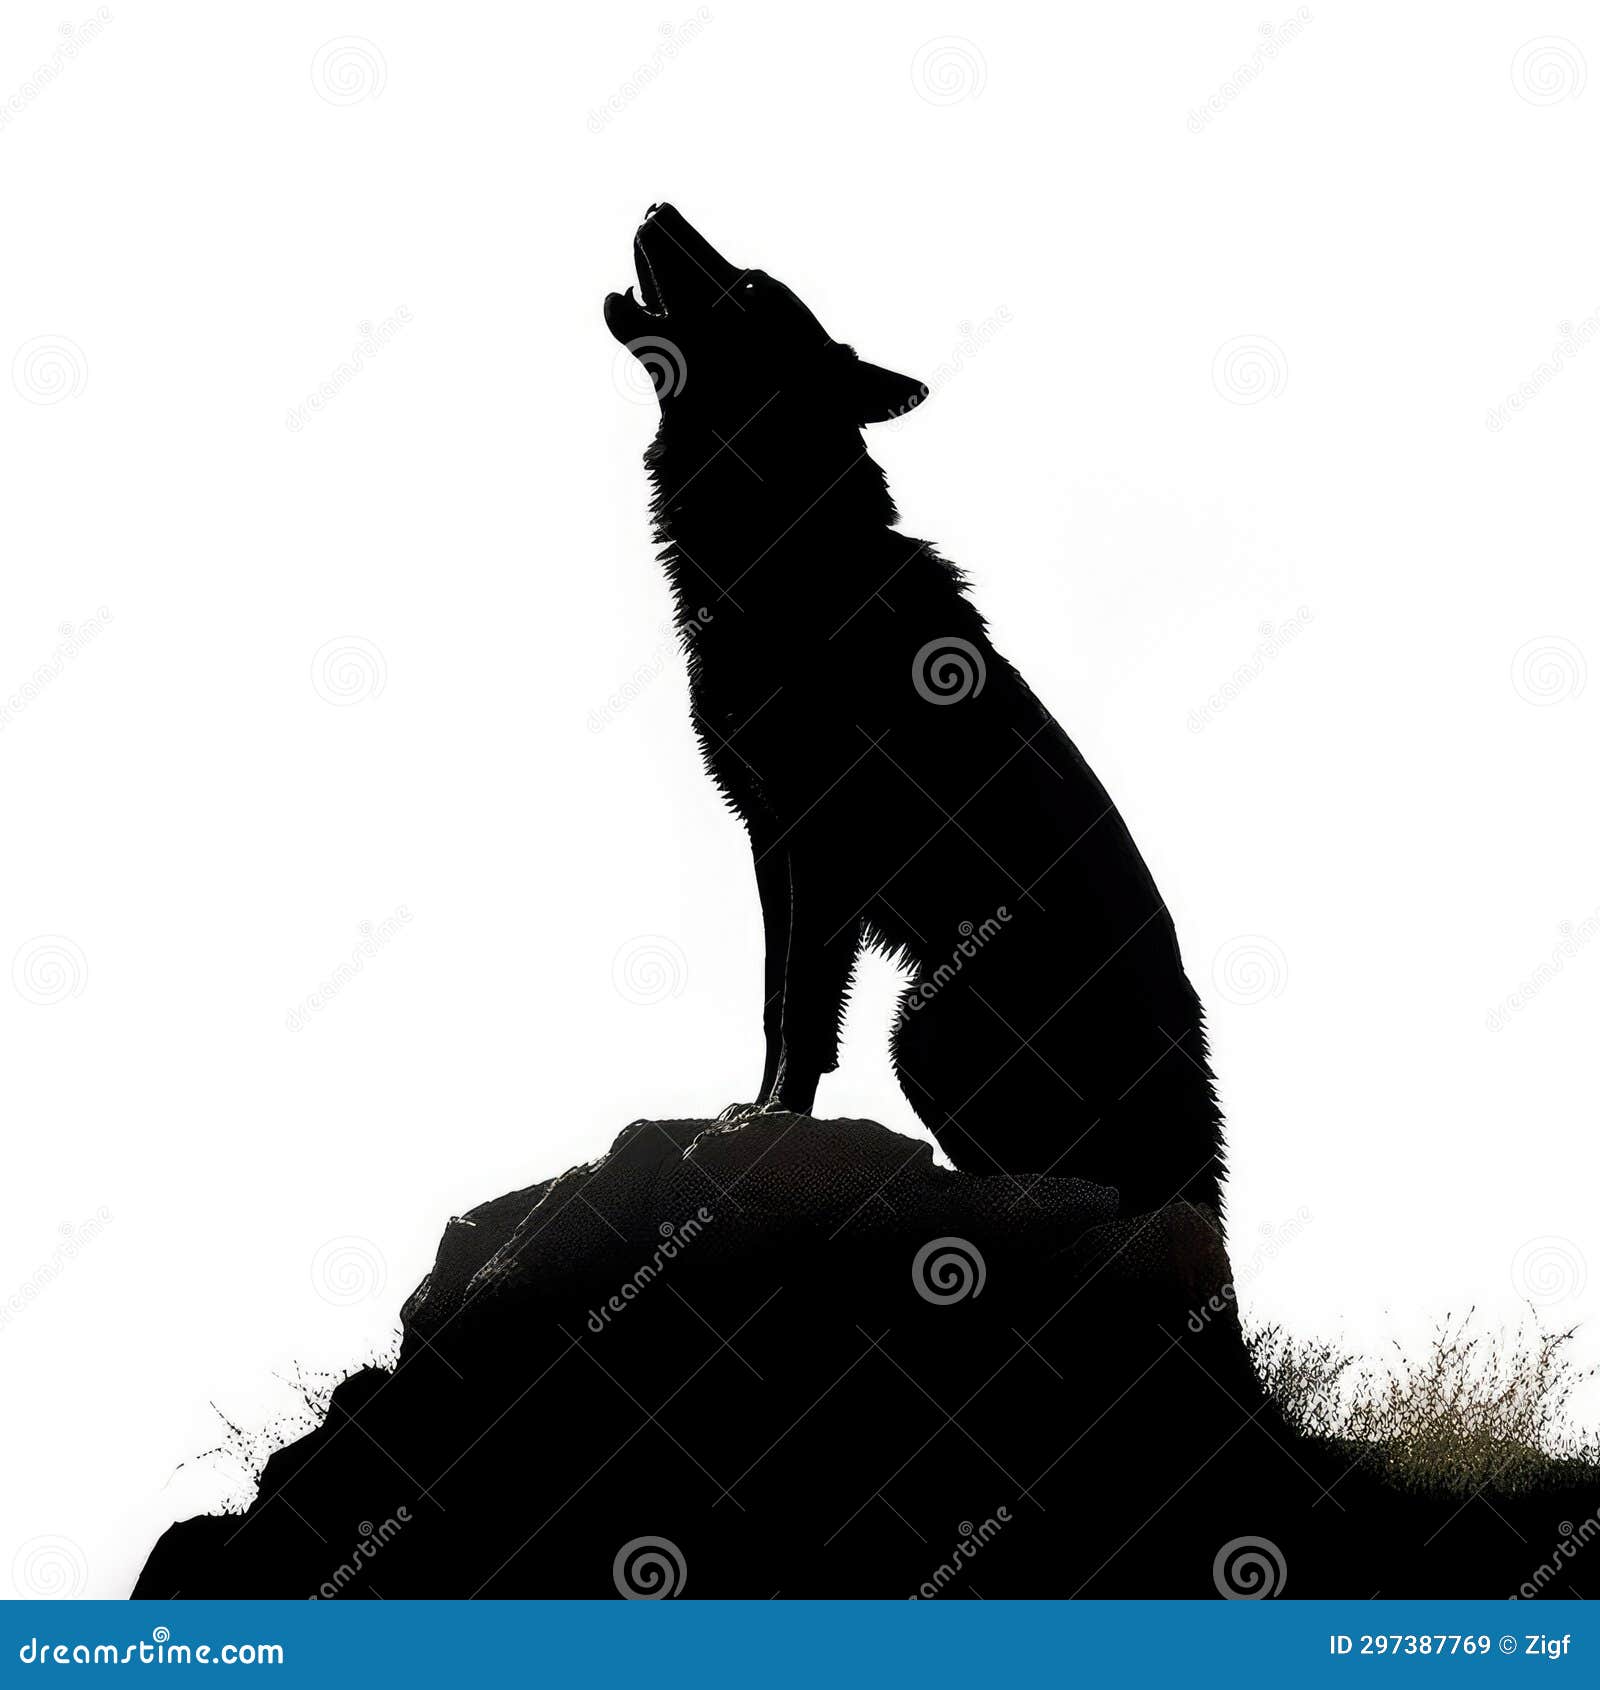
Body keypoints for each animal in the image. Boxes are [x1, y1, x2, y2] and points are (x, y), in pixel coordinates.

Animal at [605, 205, 1223, 1214]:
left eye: (749, 286)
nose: (657, 208)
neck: (789, 549)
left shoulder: (819, 841)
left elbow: (803, 1007)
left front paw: (776, 1120)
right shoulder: (769, 834)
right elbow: (773, 1000)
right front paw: (755, 1110)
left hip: (929, 1029)